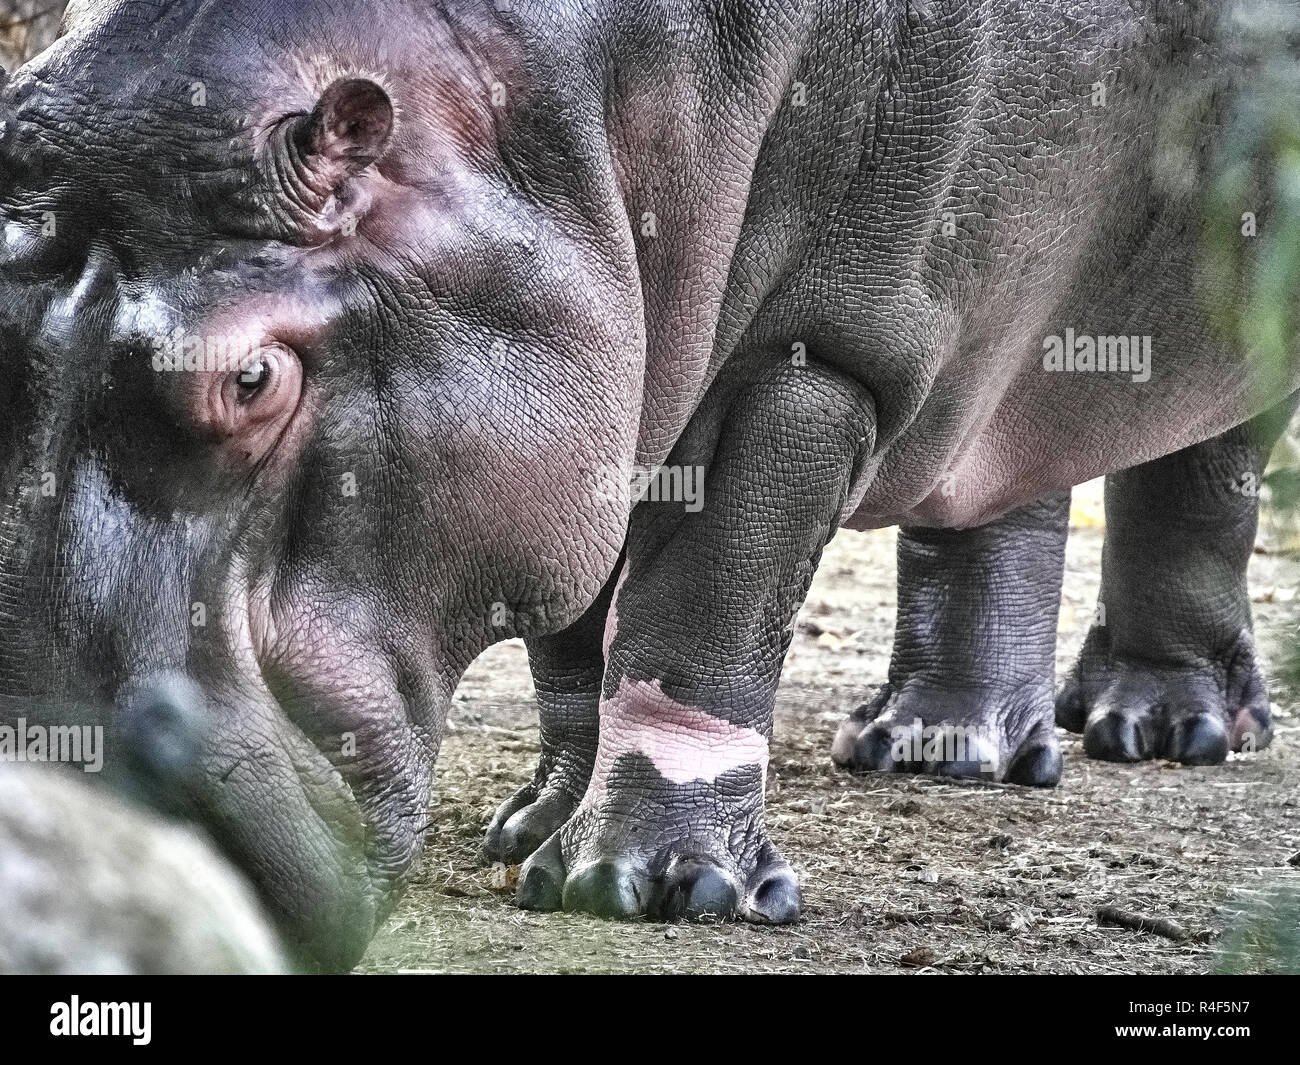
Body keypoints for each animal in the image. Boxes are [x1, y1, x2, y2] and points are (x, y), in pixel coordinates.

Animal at [1, 0, 1295, 971]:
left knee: (1208, 475)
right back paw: (940, 748)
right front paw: (533, 830)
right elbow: (576, 633)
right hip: (998, 315)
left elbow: (708, 602)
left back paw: (1160, 728)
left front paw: (648, 887)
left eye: (251, 377)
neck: (528, 124)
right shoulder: (609, 383)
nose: (83, 810)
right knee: (994, 481)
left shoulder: (815, 352)